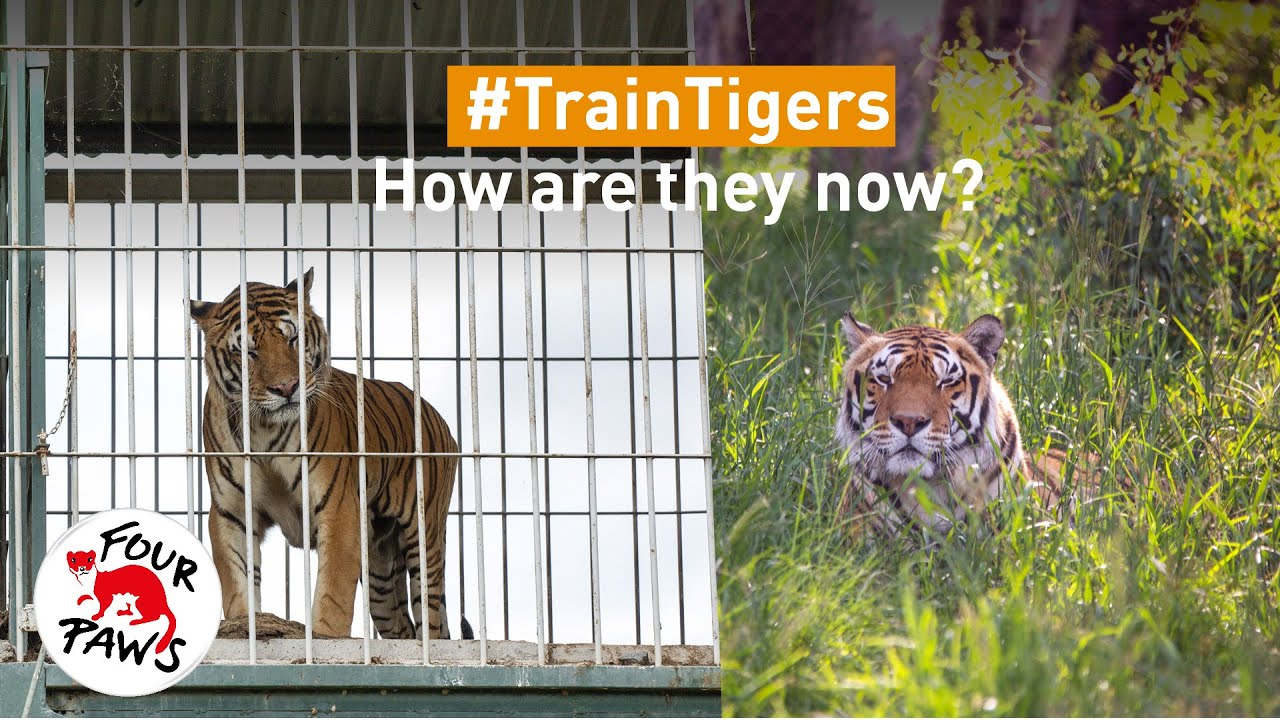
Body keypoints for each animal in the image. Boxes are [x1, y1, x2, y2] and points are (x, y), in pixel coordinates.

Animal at [190, 269, 468, 640]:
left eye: (294, 340)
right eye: (248, 352)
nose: (286, 388)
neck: (263, 430)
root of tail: (437, 416)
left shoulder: (339, 508)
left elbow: (333, 590)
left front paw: (323, 637)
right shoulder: (232, 512)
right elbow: (238, 583)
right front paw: (244, 625)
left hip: (424, 536)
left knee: (431, 622)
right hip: (380, 571)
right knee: (402, 628)